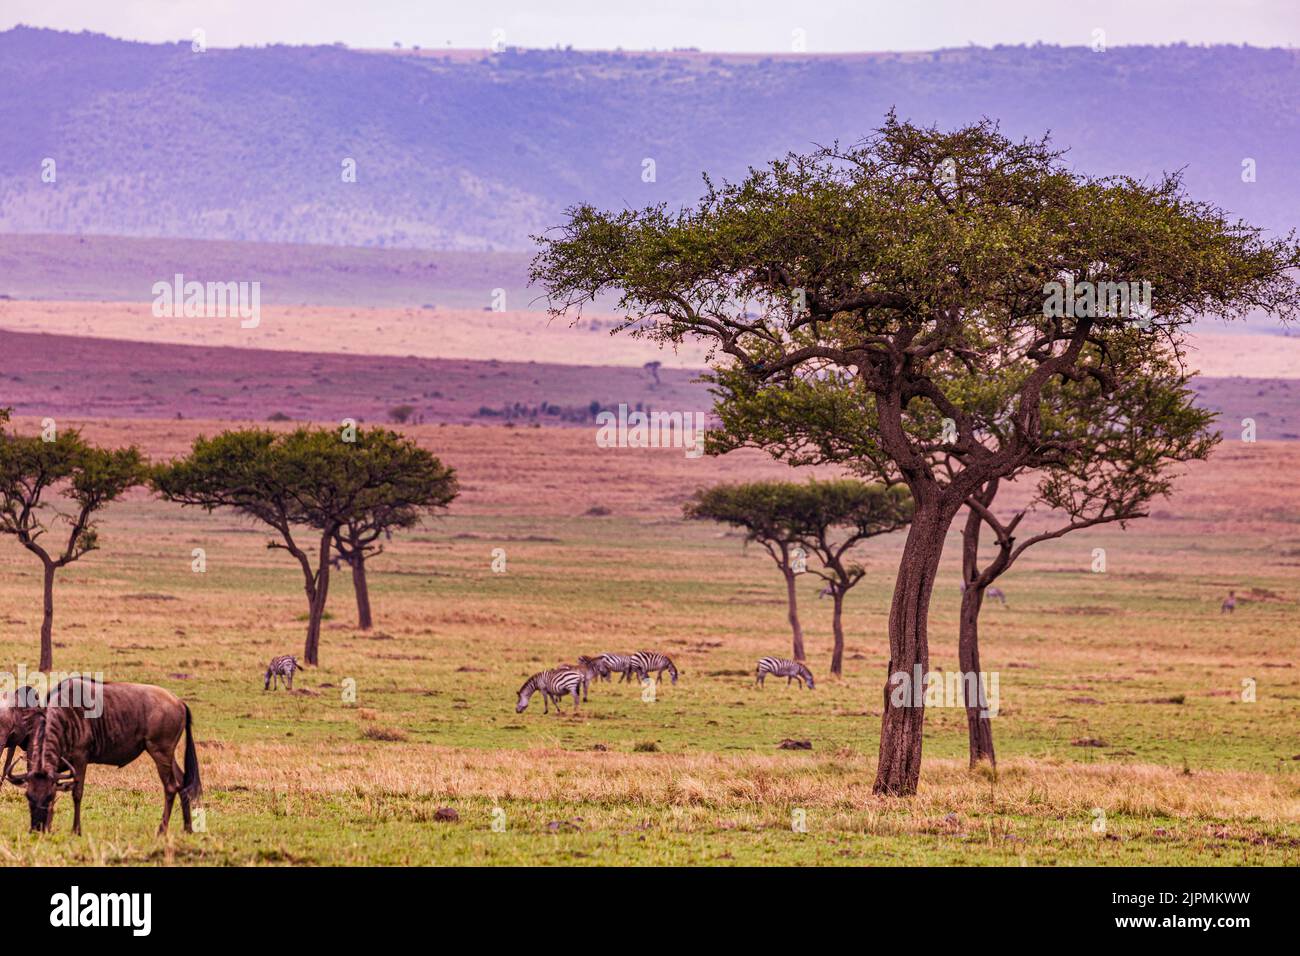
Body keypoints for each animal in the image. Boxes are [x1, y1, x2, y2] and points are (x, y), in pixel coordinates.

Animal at [8, 677, 201, 835]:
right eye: (28, 796)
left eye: (47, 797)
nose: (36, 829)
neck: (65, 714)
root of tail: (179, 701)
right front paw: (49, 827)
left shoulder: (80, 759)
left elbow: (77, 793)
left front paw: (76, 830)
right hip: (168, 755)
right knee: (182, 783)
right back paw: (188, 828)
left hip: (160, 752)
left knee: (170, 787)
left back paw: (162, 830)